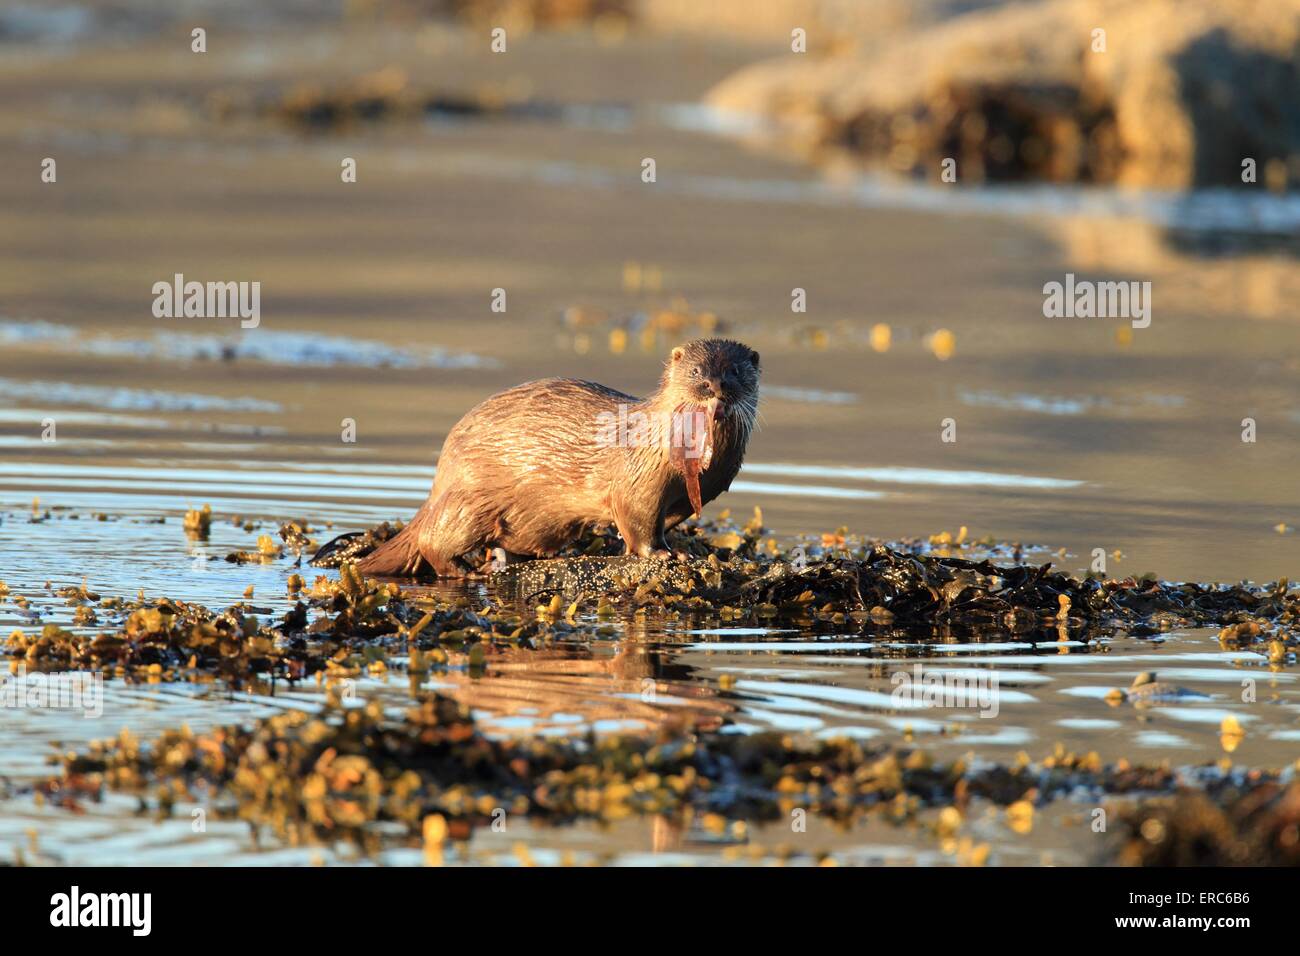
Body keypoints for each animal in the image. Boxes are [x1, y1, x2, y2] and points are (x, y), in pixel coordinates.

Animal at [344, 339, 760, 577]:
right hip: (472, 498)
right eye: (695, 370)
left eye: (734, 370)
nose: (714, 386)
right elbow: (638, 520)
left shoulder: (708, 486)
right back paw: (464, 570)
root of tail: (441, 473)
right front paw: (661, 554)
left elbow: (667, 518)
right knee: (435, 538)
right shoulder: (637, 480)